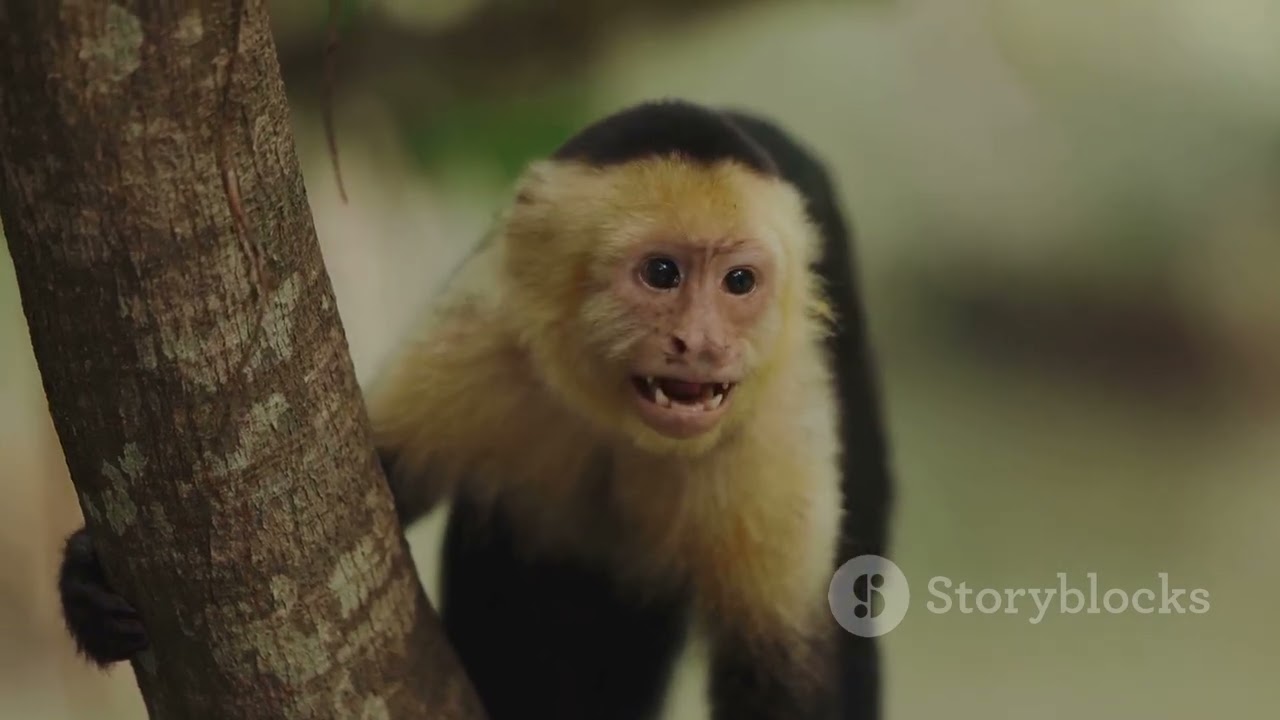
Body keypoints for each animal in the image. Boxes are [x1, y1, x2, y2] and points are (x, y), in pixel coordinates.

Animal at [57, 99, 894, 720]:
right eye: (662, 273)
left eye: (739, 283)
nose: (706, 343)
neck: (619, 424)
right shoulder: (480, 344)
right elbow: (364, 499)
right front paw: (90, 585)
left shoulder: (773, 431)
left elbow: (794, 672)